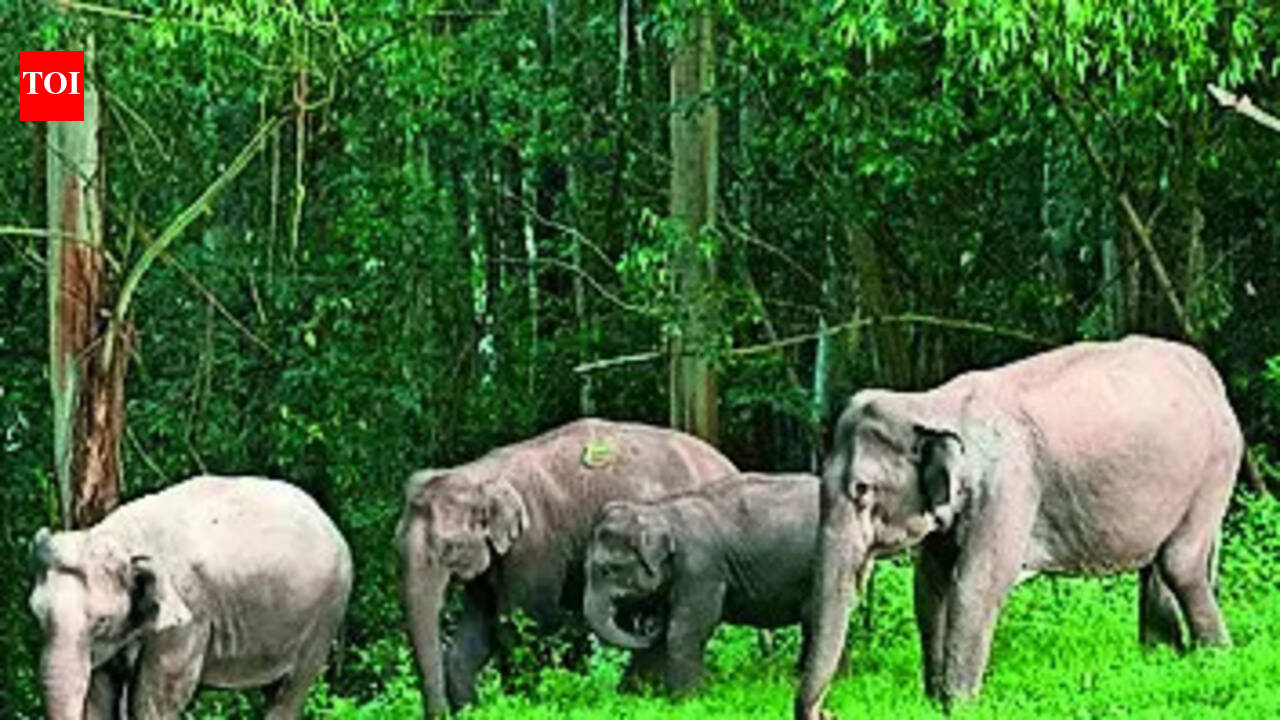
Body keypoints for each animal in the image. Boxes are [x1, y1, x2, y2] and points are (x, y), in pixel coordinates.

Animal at [28, 475, 353, 720]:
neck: (120, 538)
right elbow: (99, 693)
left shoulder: (190, 614)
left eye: (102, 621)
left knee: (290, 691)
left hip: (327, 613)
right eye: (37, 615)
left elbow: (157, 698)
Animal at [395, 418, 737, 717]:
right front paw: (475, 711)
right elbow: (477, 627)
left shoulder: (533, 545)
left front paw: (526, 702)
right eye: (394, 545)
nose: (439, 715)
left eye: (449, 548)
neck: (478, 474)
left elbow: (522, 622)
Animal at [583, 472, 820, 697]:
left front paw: (687, 699)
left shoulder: (700, 567)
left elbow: (688, 626)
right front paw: (636, 695)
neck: (659, 510)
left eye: (608, 569)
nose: (647, 624)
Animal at [797, 336, 1244, 719]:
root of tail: (1209, 374)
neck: (932, 402)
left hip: (1216, 467)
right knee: (1156, 565)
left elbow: (977, 583)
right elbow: (928, 585)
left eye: (862, 490)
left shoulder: (1009, 486)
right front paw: (934, 702)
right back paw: (1162, 657)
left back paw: (1216, 659)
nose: (828, 712)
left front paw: (959, 707)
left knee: (1179, 562)